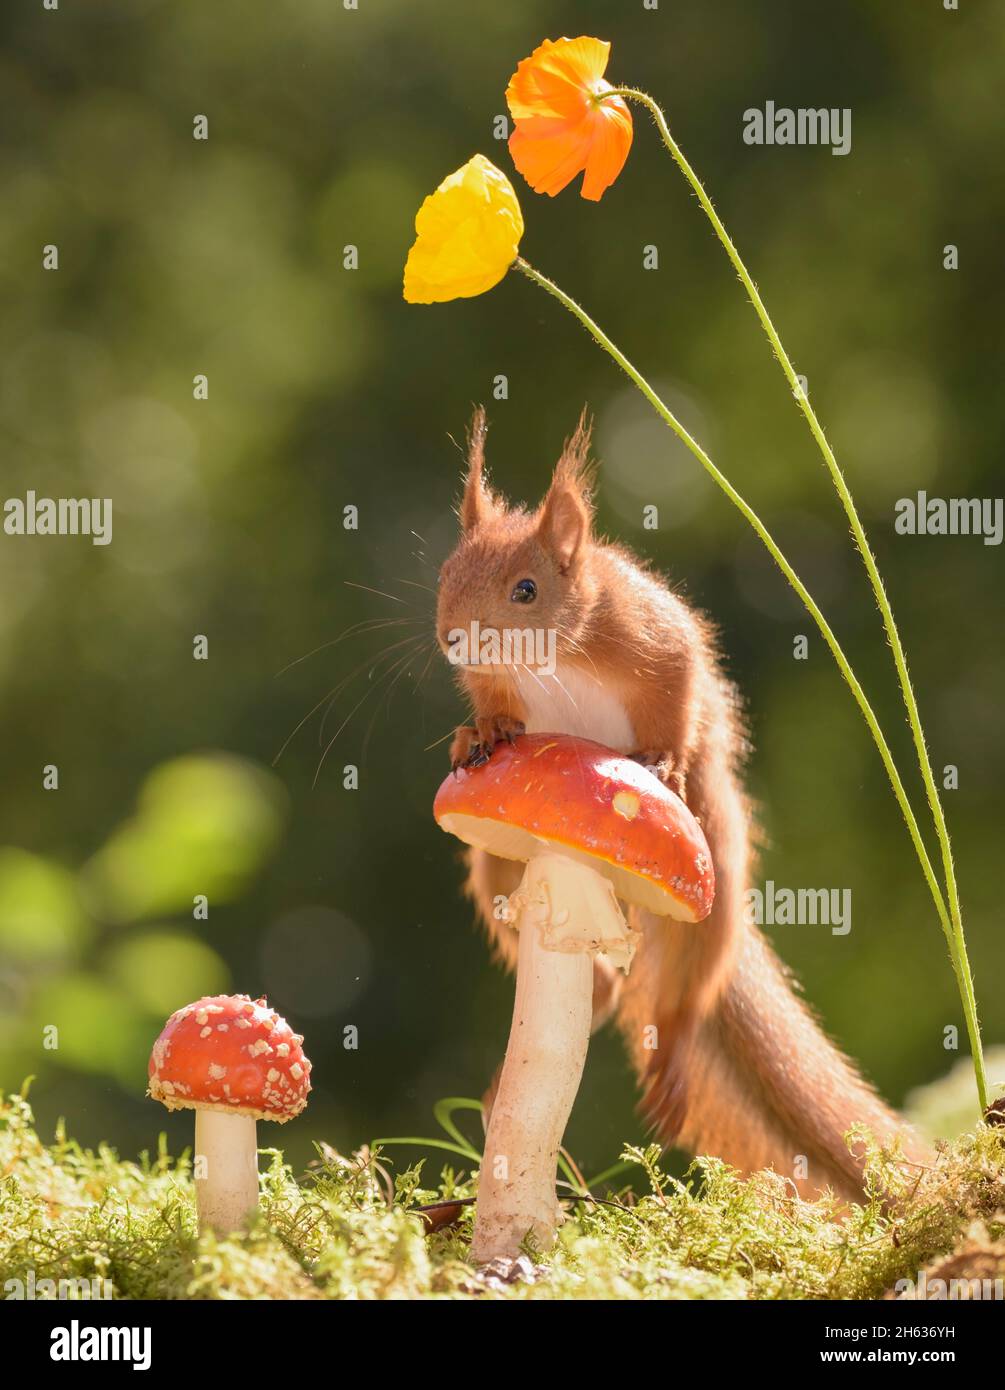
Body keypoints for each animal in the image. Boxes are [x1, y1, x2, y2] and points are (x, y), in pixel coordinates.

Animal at [436, 409, 928, 1202]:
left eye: (526, 590)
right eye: (446, 574)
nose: (452, 638)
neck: (554, 659)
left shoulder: (654, 639)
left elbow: (682, 685)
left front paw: (665, 762)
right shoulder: (497, 686)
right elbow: (489, 706)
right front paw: (478, 732)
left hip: (715, 868)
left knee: (695, 981)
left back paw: (671, 1049)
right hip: (499, 867)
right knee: (566, 953)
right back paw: (600, 996)